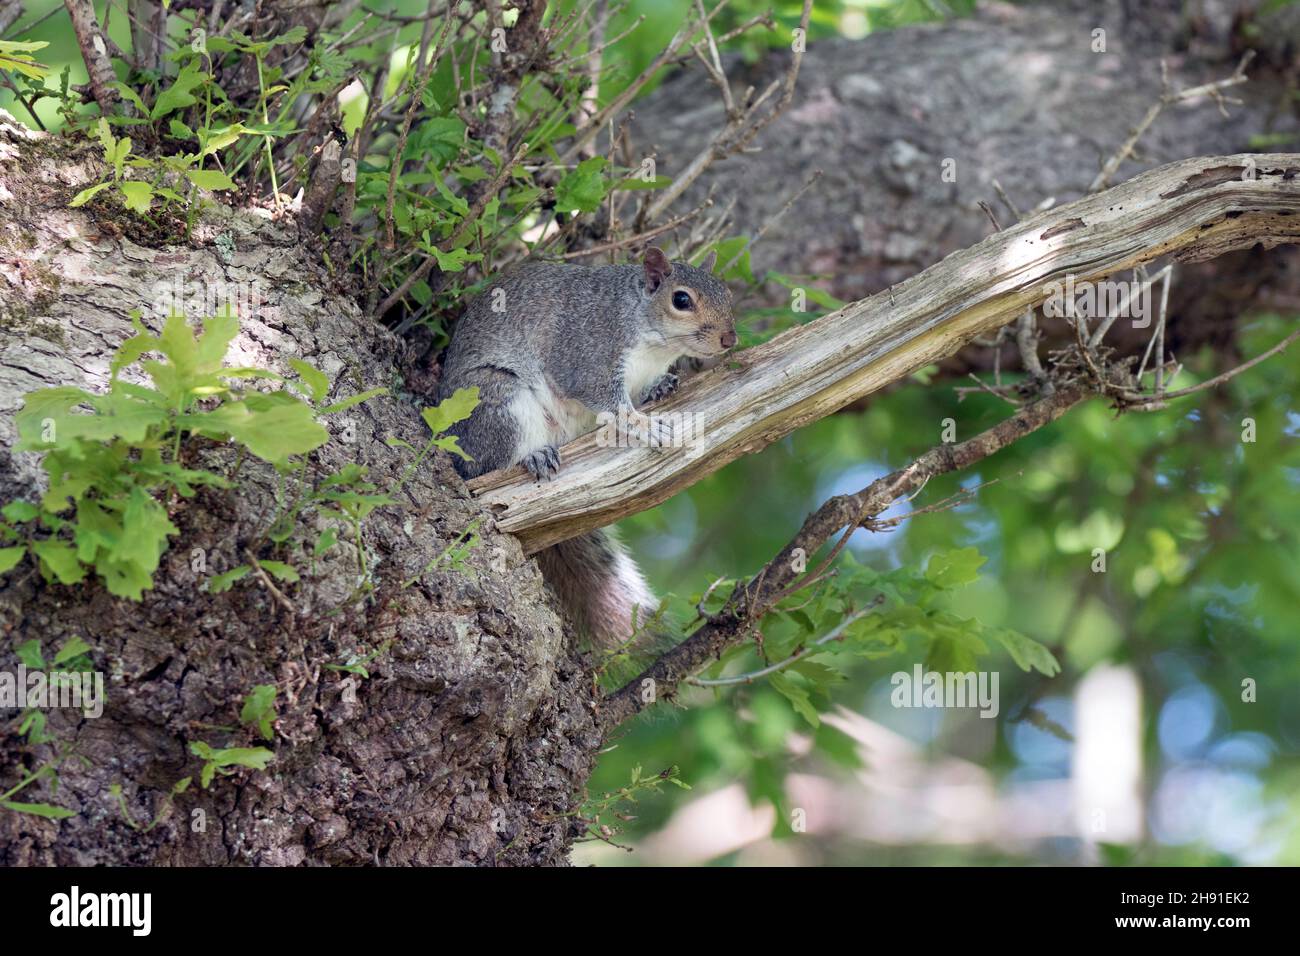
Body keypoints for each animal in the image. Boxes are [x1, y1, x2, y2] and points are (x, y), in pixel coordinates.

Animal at [436, 247, 736, 648]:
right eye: (681, 300)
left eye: (727, 293)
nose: (729, 339)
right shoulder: (587, 351)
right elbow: (605, 399)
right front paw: (644, 425)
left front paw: (661, 387)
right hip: (495, 400)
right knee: (488, 466)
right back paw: (533, 455)